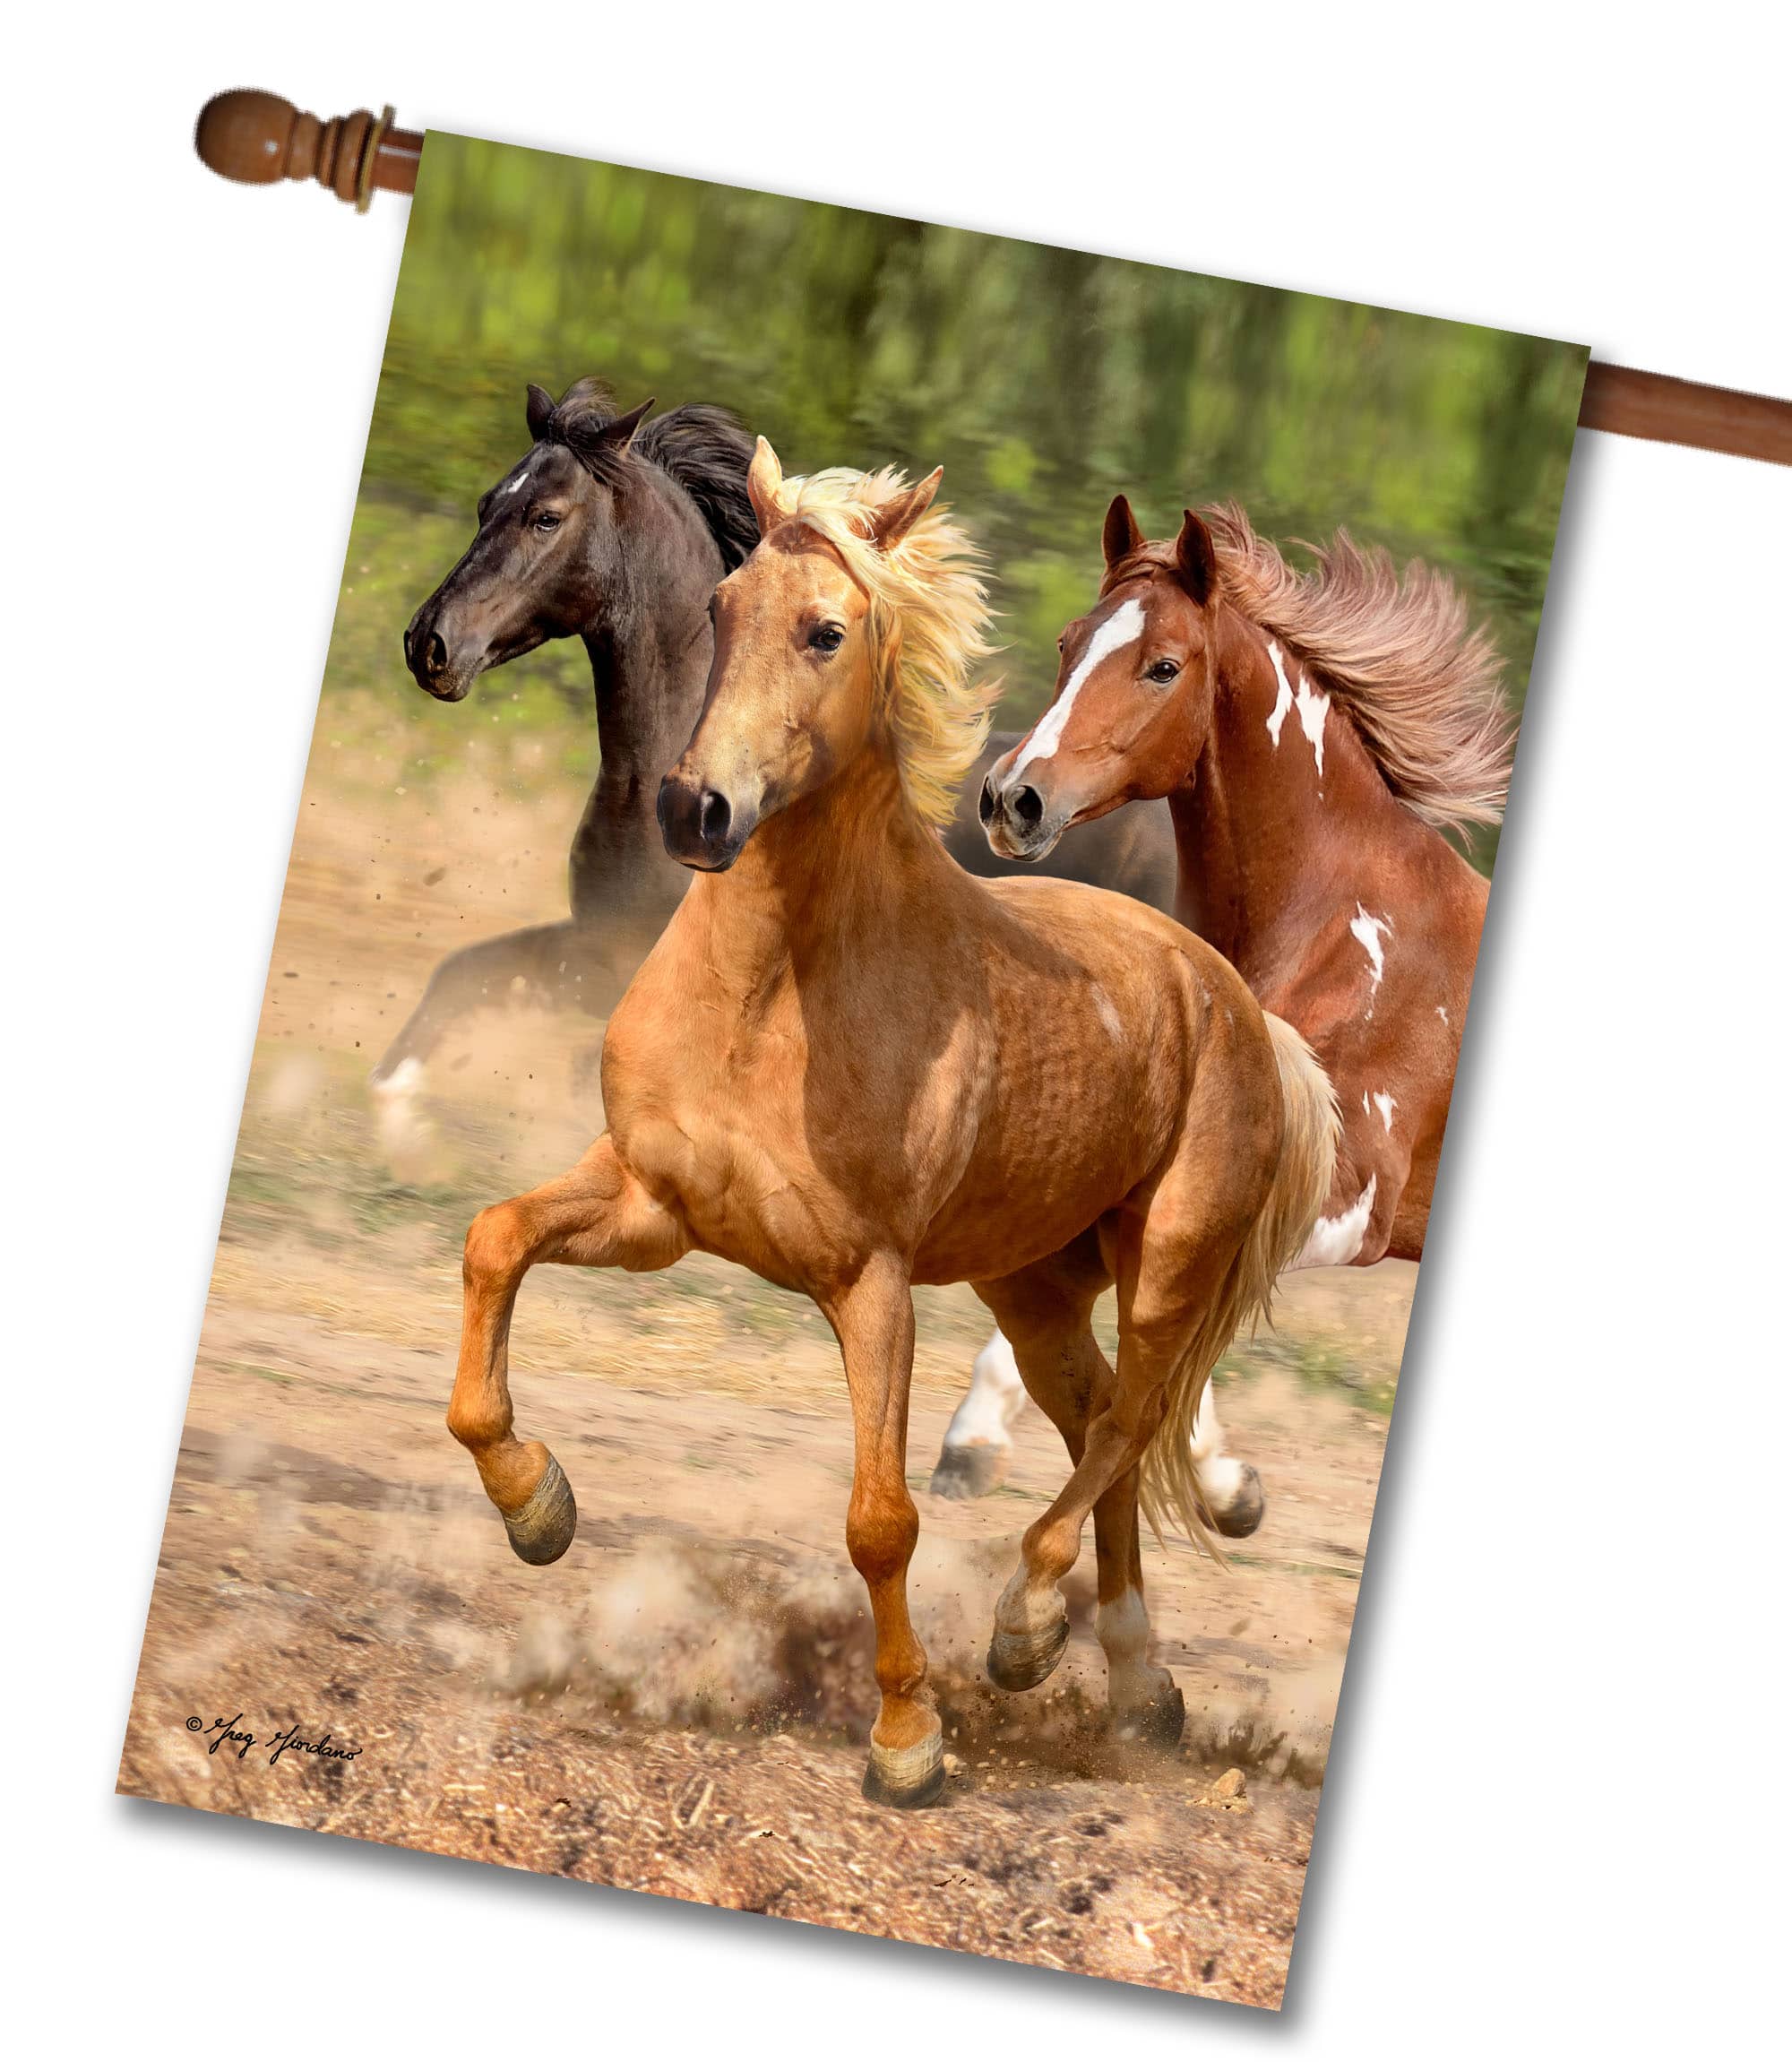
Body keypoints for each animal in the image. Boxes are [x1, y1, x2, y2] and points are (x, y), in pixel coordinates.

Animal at [445, 443, 1339, 1808]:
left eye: (827, 631)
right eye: (720, 610)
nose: (694, 811)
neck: (771, 995)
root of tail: (1235, 1001)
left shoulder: (869, 1280)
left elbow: (881, 1519)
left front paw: (908, 1744)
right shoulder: (655, 1205)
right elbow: (494, 1241)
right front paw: (536, 1505)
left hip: (1169, 1264)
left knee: (1127, 1426)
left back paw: (1028, 1635)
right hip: (1032, 1285)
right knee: (1098, 1423)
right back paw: (1138, 1688)